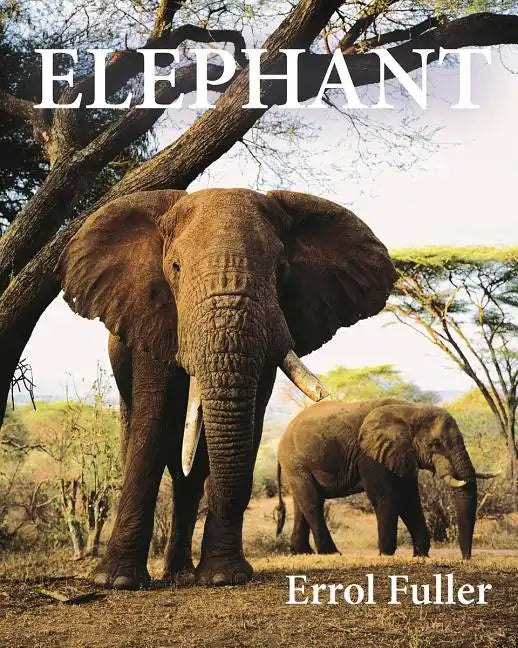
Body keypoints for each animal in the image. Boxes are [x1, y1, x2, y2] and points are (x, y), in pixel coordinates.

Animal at [56, 188, 395, 588]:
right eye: (175, 268)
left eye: (281, 269)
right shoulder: (153, 317)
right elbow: (151, 429)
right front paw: (116, 582)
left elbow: (250, 424)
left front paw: (223, 577)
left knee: (191, 475)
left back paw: (180, 572)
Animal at [276, 398, 495, 559]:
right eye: (436, 445)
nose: (465, 559)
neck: (409, 410)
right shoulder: (369, 455)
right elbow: (386, 496)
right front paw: (386, 554)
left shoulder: (402, 454)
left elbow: (409, 500)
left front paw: (421, 555)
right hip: (295, 462)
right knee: (313, 502)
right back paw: (331, 553)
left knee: (302, 504)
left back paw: (301, 552)